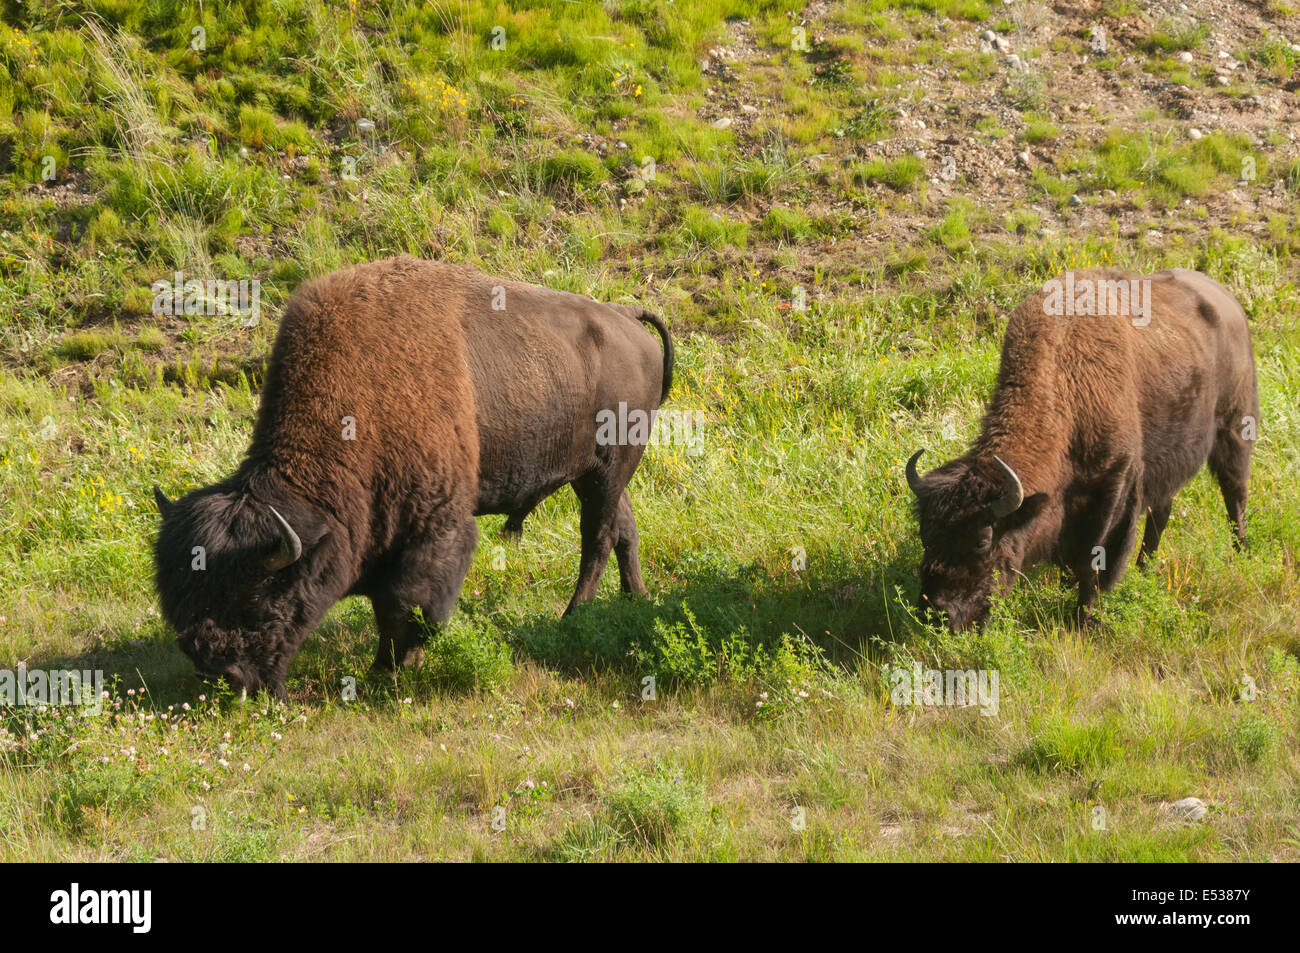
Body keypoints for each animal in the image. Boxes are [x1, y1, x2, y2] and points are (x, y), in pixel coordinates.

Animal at [154, 256, 672, 698]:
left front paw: (398, 667)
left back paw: (572, 618)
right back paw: (635, 601)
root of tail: (626, 315)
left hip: (608, 469)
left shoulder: (433, 528)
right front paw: (385, 666)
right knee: (624, 529)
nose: (224, 677)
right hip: (598, 475)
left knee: (597, 539)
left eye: (259, 600)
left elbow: (408, 603)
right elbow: (387, 605)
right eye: (177, 598)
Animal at [906, 267, 1258, 630]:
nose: (938, 612)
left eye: (981, 541)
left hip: (1234, 427)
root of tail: (1228, 301)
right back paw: (1145, 569)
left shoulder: (1115, 488)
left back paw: (1240, 553)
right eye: (925, 535)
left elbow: (1094, 561)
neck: (1066, 385)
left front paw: (1084, 619)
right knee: (1162, 512)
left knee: (1235, 493)